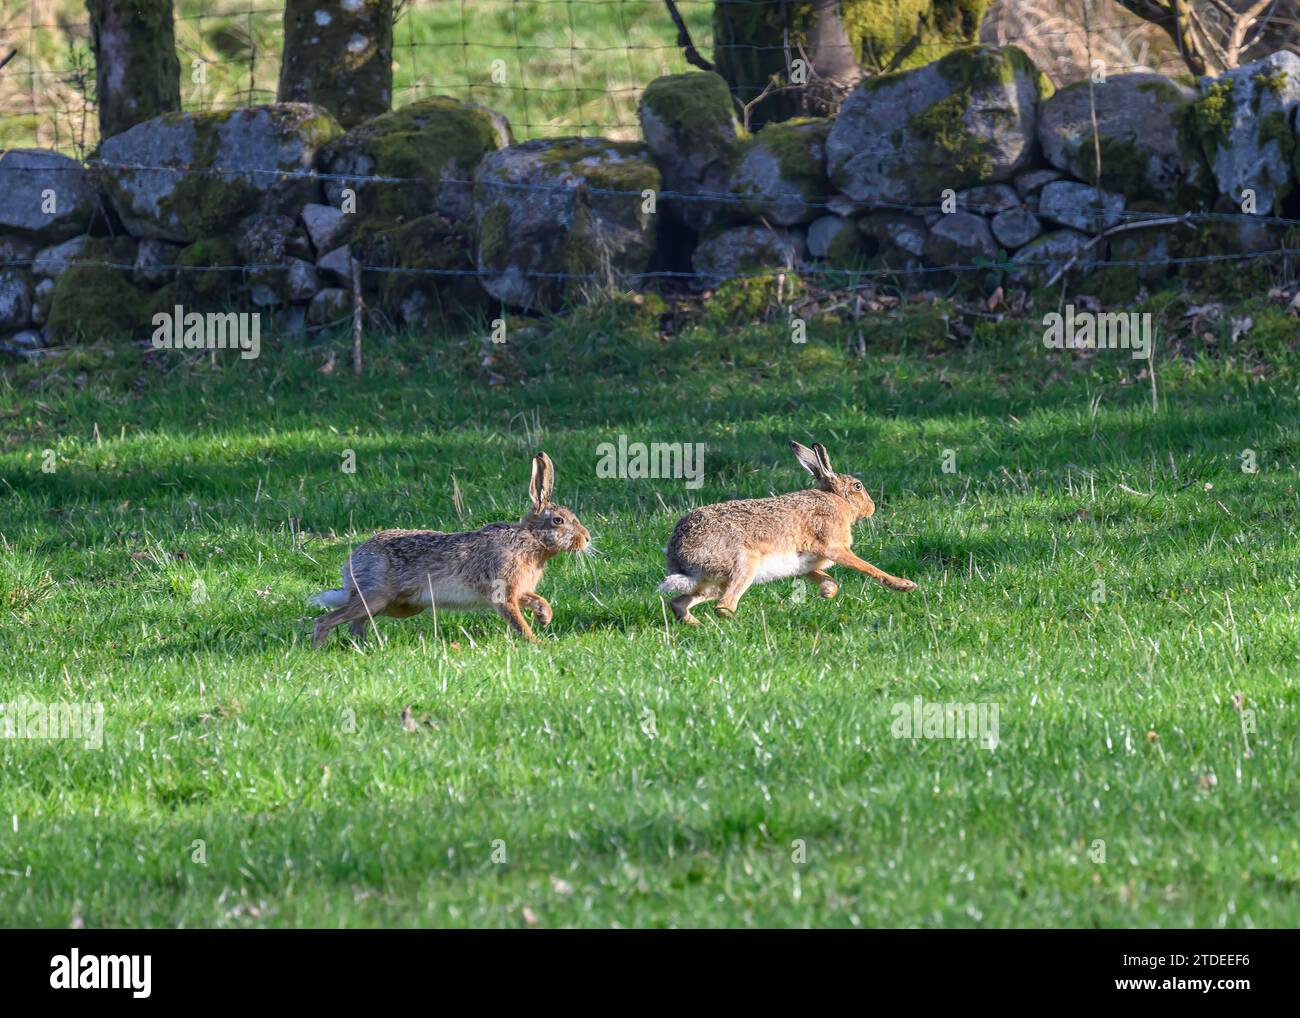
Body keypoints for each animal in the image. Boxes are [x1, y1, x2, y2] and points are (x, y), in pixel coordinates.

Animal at [311, 452, 590, 646]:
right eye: (559, 520)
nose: (586, 539)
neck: (530, 539)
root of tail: (351, 563)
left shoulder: (518, 589)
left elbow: (534, 598)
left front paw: (545, 616)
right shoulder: (503, 591)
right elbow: (517, 620)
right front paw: (536, 641)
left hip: (401, 606)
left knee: (356, 623)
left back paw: (369, 647)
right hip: (376, 595)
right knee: (326, 620)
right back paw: (320, 647)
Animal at [658, 441, 916, 624]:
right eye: (857, 486)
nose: (871, 507)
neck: (837, 500)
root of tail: (679, 556)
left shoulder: (806, 564)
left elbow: (829, 579)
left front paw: (826, 593)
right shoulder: (833, 548)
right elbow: (869, 568)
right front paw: (904, 585)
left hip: (710, 584)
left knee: (678, 603)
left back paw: (698, 624)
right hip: (744, 565)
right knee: (724, 606)